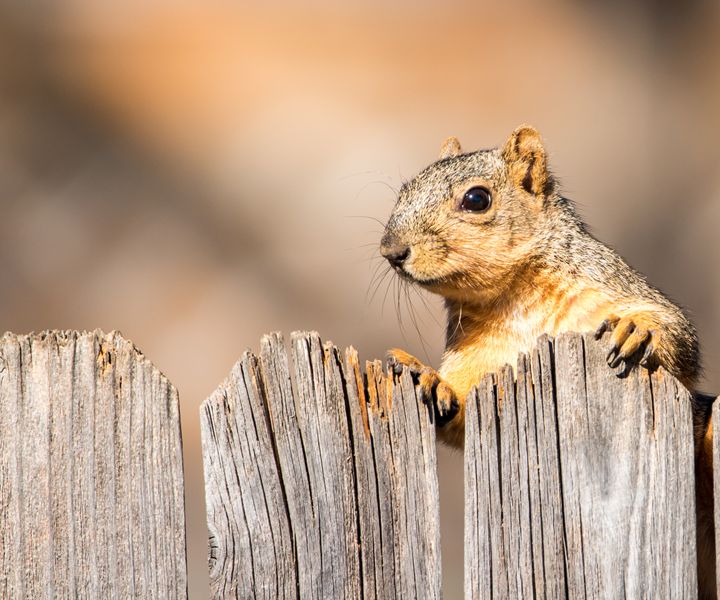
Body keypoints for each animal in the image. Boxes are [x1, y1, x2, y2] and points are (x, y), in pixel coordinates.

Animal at [379, 125, 715, 597]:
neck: (516, 296)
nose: (391, 250)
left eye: (477, 199)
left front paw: (641, 330)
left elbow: (681, 343)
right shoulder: (476, 360)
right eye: (405, 189)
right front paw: (424, 375)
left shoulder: (615, 286)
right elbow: (460, 413)